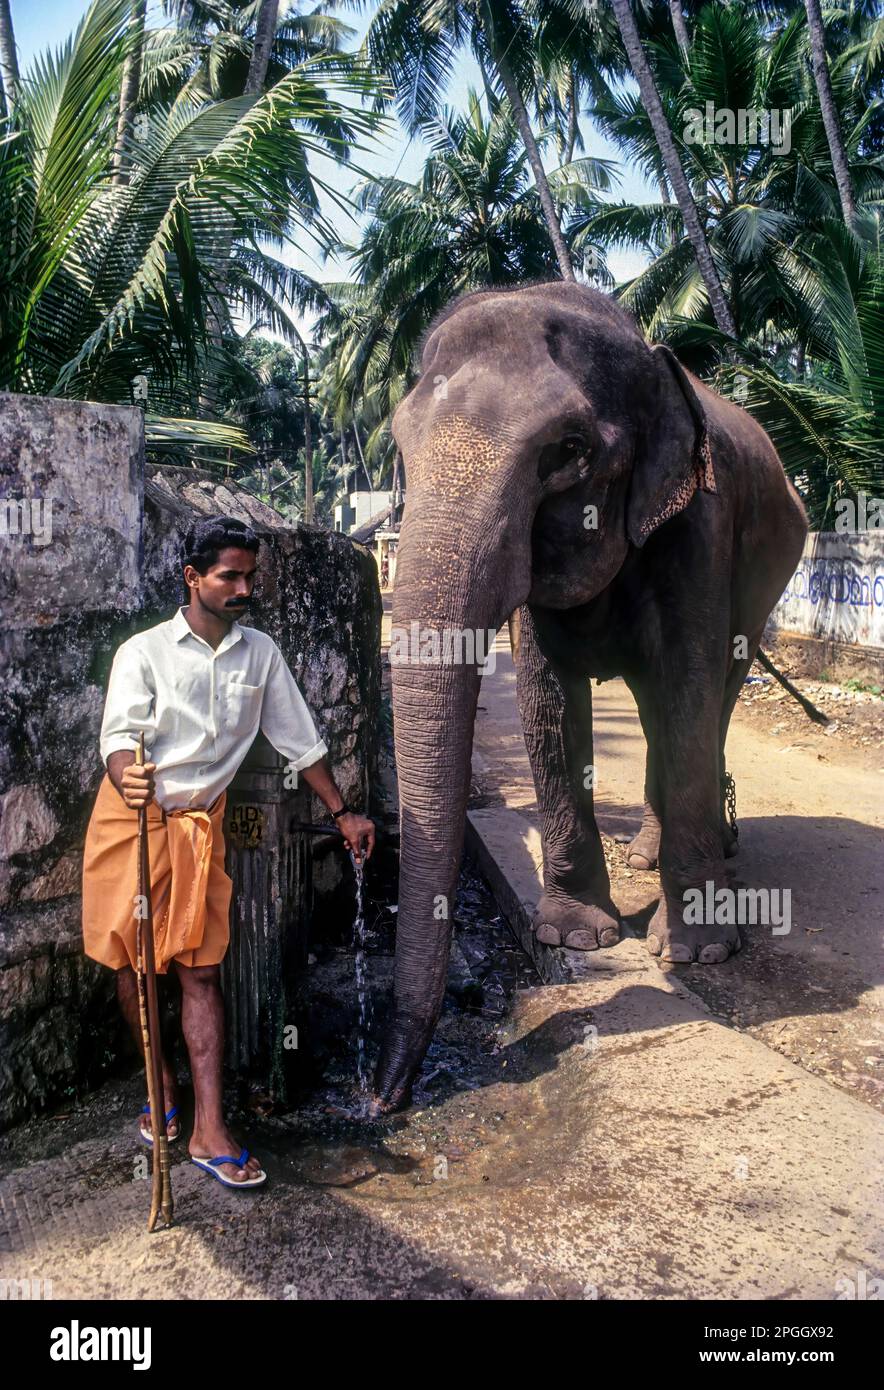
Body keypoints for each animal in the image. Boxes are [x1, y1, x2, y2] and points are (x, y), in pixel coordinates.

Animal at [371, 280, 807, 1114]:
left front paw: (698, 952)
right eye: (400, 446)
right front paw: (575, 937)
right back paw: (646, 853)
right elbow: (548, 702)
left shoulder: (698, 527)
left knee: (714, 699)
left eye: (567, 452)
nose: (381, 1099)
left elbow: (687, 685)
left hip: (768, 578)